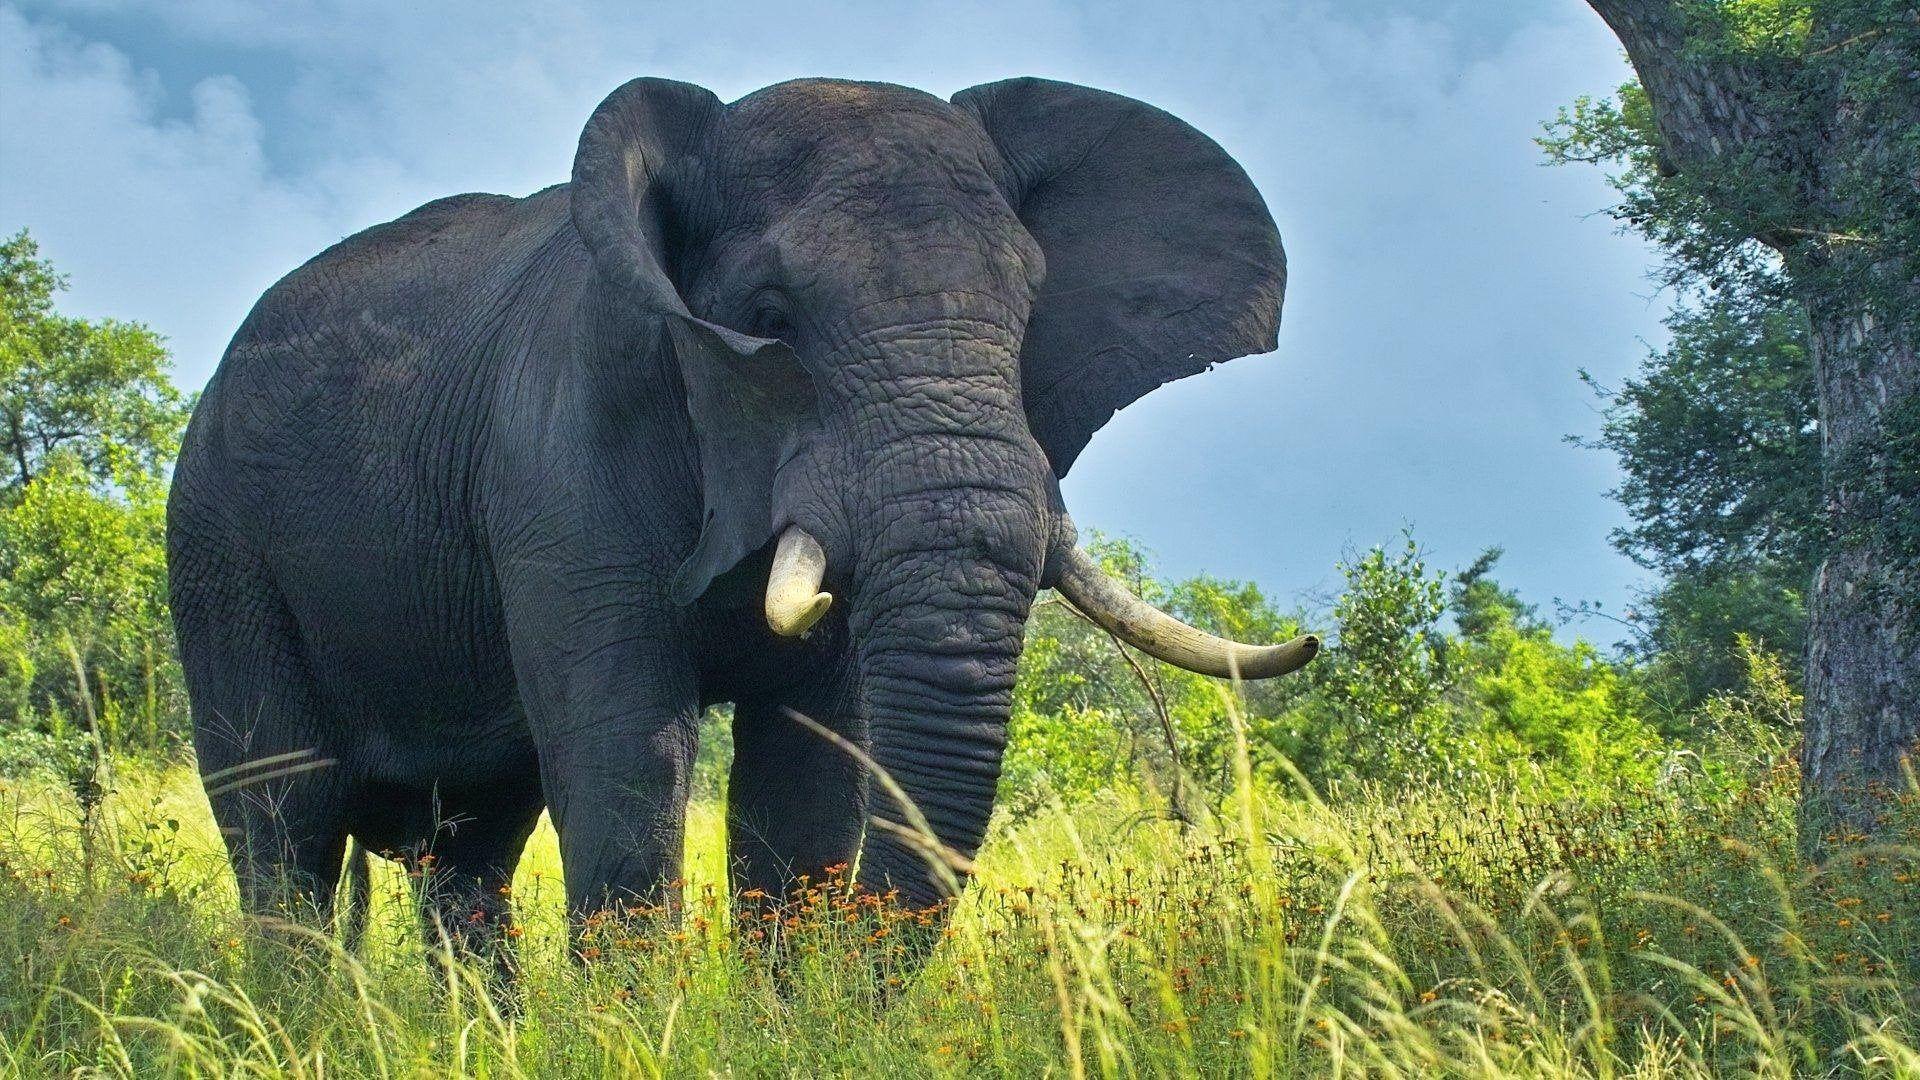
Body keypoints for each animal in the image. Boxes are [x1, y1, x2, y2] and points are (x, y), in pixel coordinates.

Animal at [166, 75, 1317, 950]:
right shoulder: (560, 449)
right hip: (217, 545)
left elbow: (806, 774)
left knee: (473, 848)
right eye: (769, 319)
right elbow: (630, 751)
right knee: (284, 822)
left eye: (1029, 317)